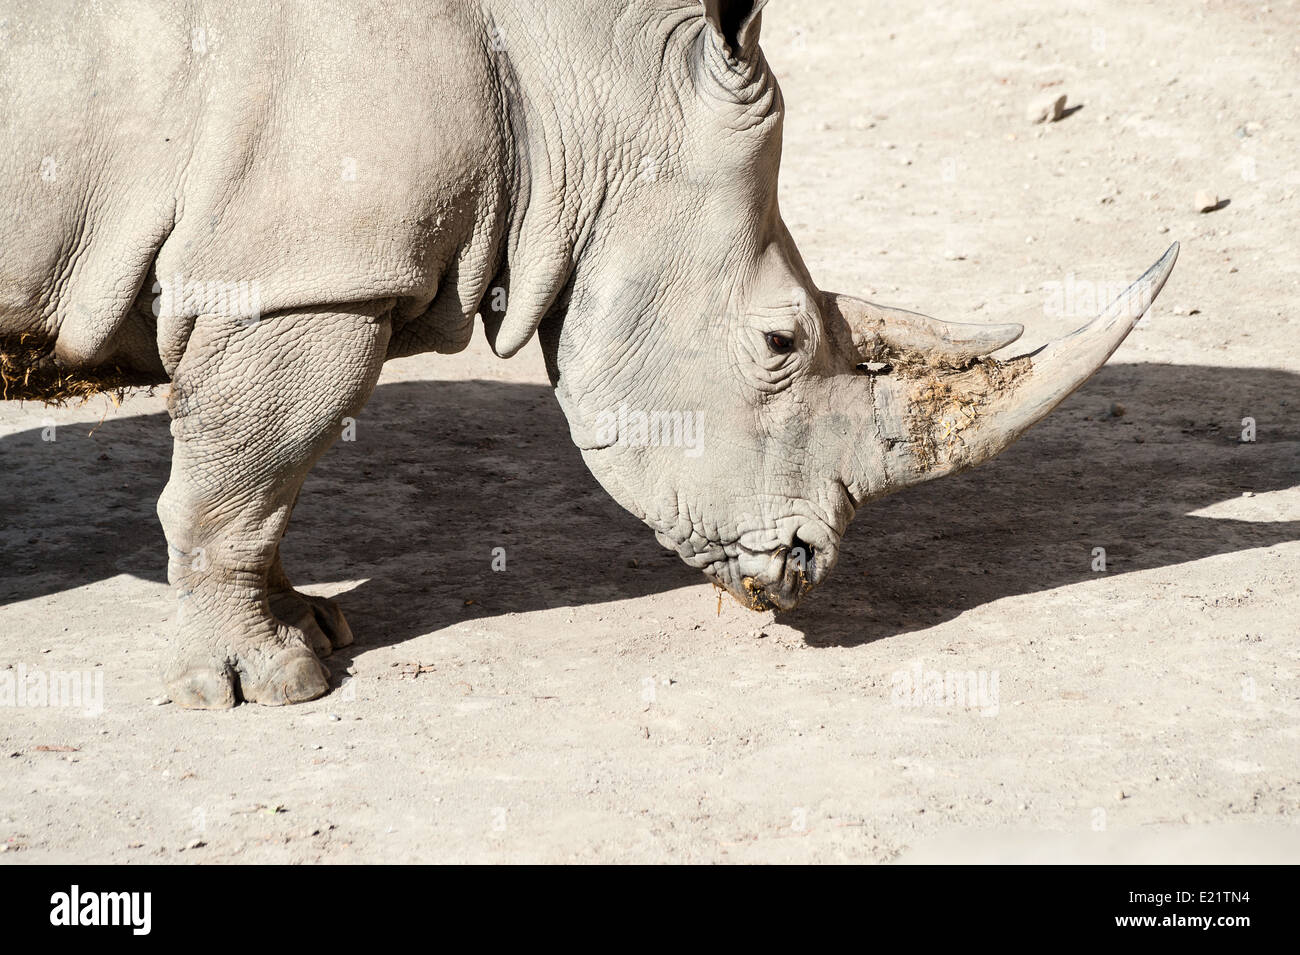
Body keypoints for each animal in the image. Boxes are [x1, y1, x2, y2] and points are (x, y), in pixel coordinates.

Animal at [1, 0, 1176, 708]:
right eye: (779, 341)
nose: (805, 566)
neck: (574, 87)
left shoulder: (295, 269)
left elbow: (257, 476)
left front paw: (317, 627)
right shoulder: (303, 275)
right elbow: (244, 478)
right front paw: (276, 685)